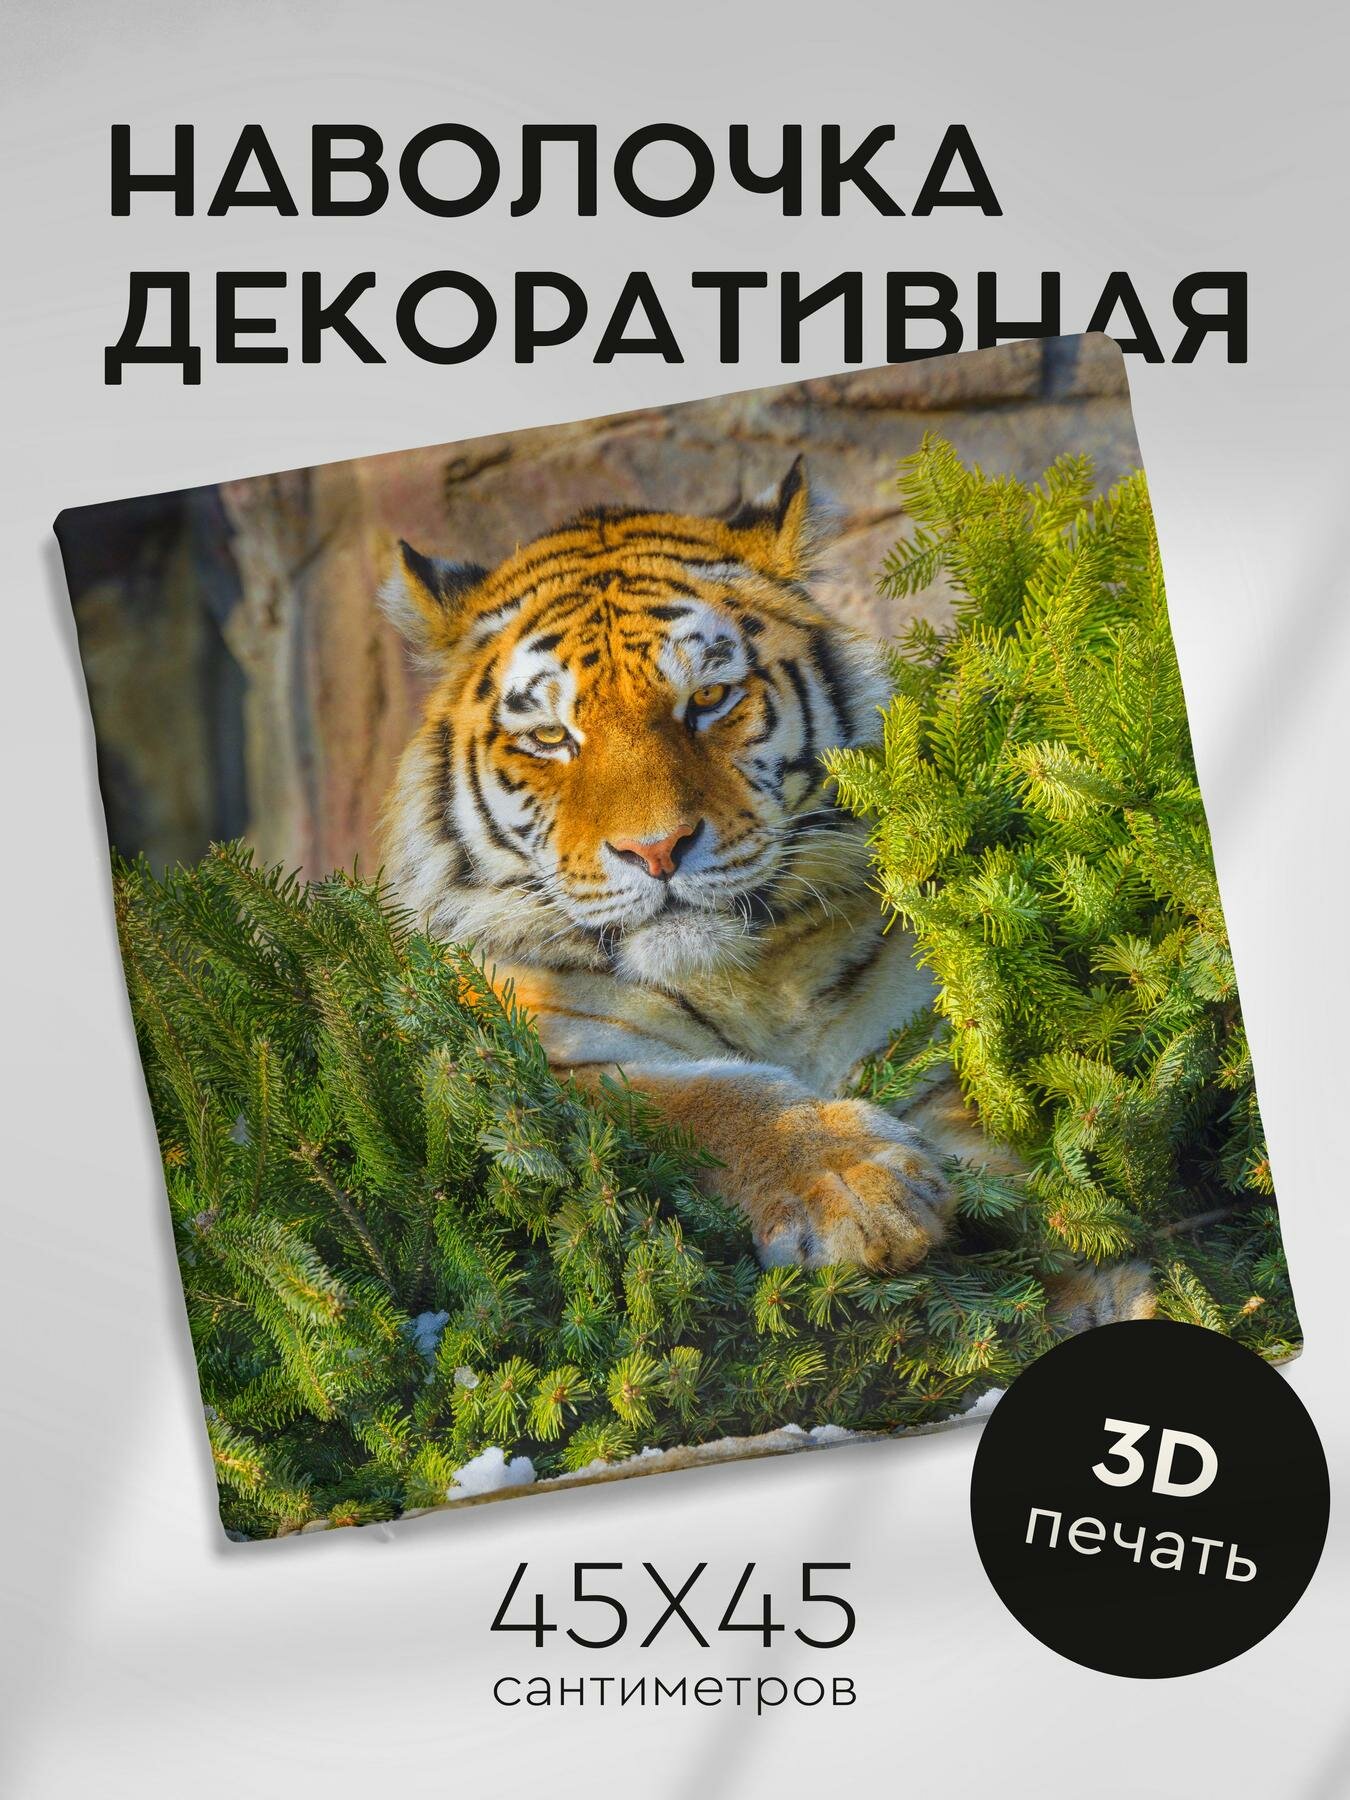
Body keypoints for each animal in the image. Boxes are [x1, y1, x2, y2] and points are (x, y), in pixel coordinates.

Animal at [378, 458, 1149, 1326]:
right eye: (550, 737)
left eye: (709, 700)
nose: (655, 849)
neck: (748, 982)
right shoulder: (522, 1065)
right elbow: (692, 1102)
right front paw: (855, 1188)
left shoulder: (914, 1042)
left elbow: (1004, 1157)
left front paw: (1101, 1274)